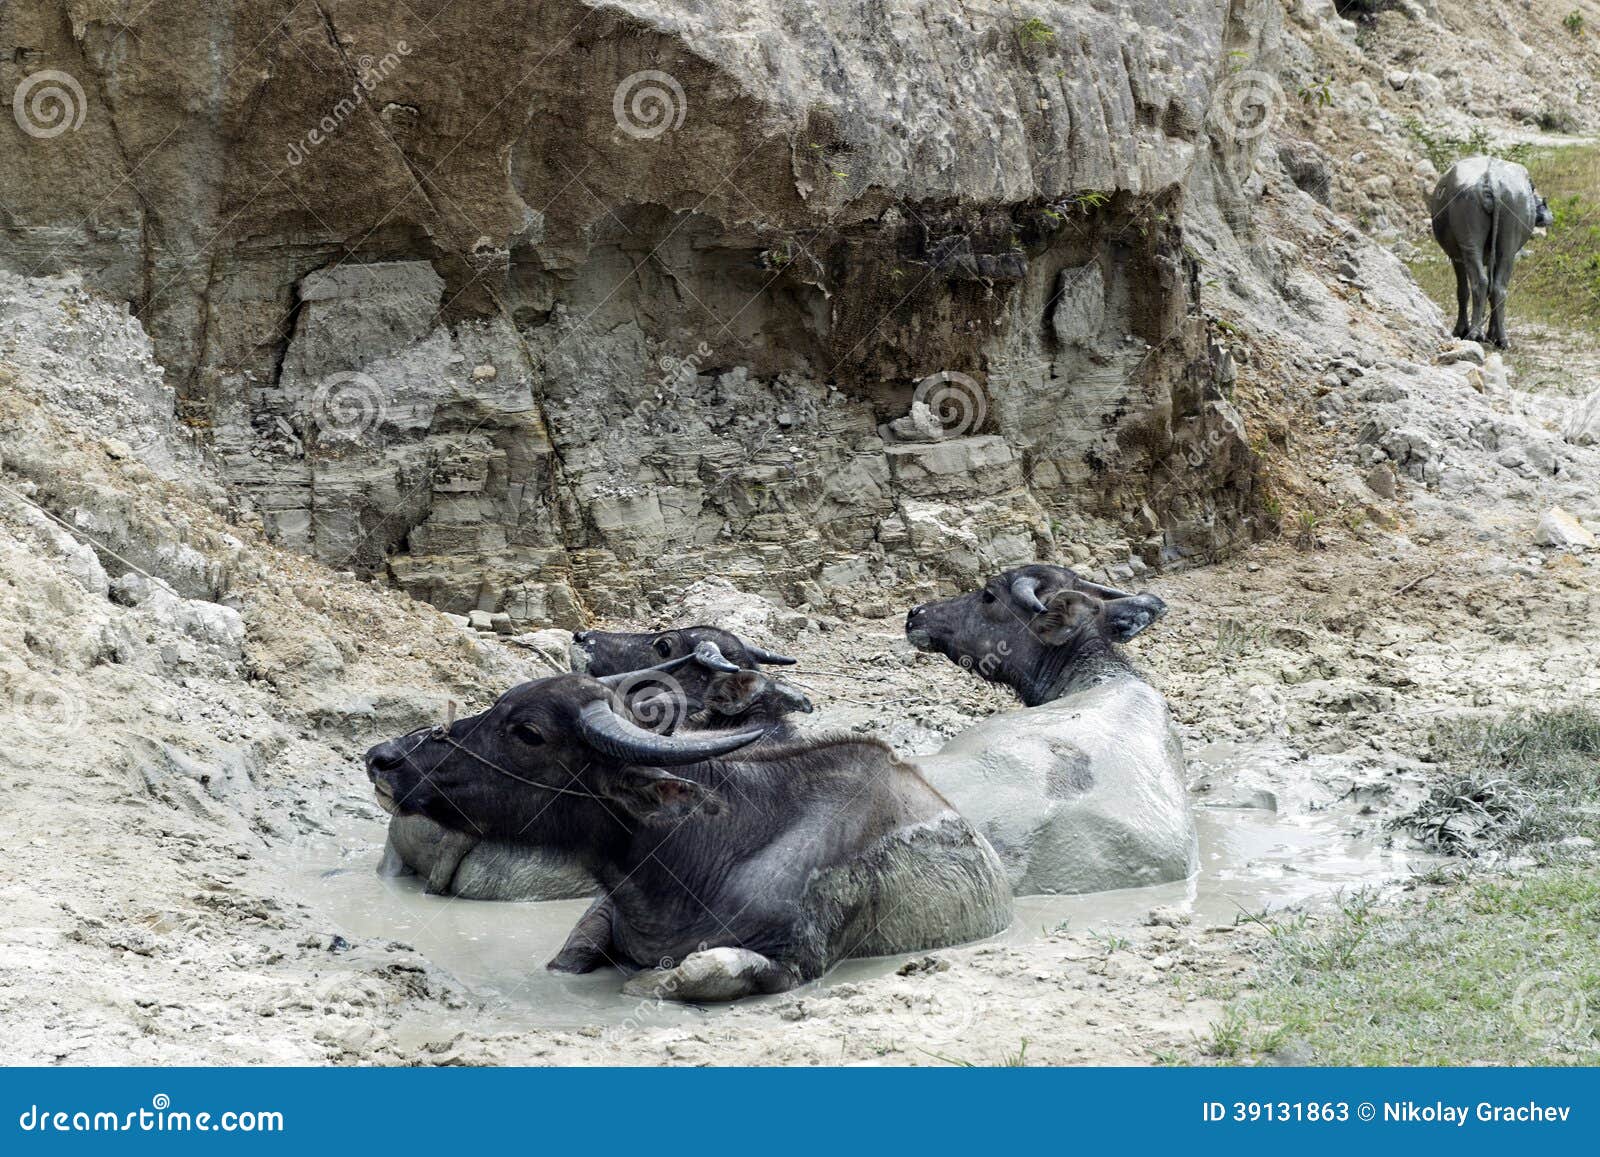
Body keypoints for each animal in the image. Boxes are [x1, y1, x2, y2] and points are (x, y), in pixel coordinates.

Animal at [364, 674, 1011, 1000]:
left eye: (528, 731)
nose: (384, 758)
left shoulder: (796, 962)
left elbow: (697, 969)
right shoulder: (601, 913)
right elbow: (568, 958)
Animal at [1430, 155, 1554, 349]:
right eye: (1533, 187)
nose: (1547, 213)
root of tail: (1491, 180)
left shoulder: (1457, 258)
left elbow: (1462, 291)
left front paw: (1462, 329)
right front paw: (1489, 333)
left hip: (1470, 243)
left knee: (1480, 283)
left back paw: (1474, 333)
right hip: (1507, 245)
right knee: (1497, 288)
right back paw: (1501, 338)